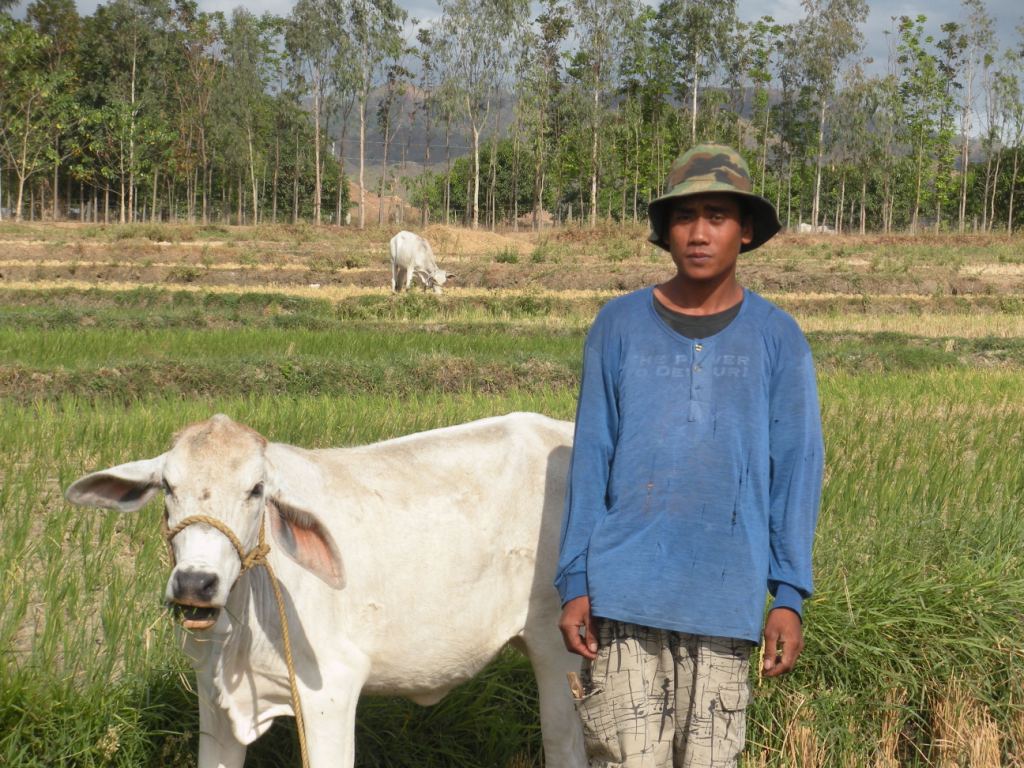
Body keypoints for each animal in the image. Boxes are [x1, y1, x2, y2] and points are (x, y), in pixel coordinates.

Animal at [64, 413, 586, 768]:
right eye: (168, 487)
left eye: (256, 489)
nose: (196, 582)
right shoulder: (213, 703)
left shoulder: (330, 694)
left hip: (557, 648)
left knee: (566, 745)